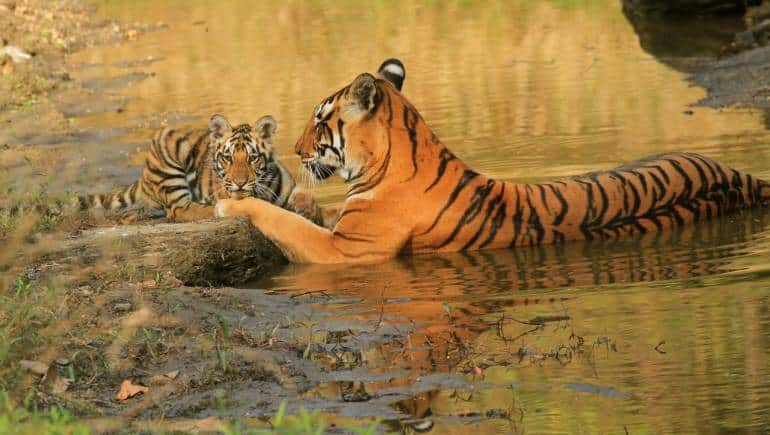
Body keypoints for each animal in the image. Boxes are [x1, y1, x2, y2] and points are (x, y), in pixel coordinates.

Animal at [80, 114, 338, 227]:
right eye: (228, 158)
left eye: (253, 158)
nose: (240, 182)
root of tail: (143, 176)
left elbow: (305, 197)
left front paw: (308, 209)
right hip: (168, 149)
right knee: (178, 210)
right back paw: (212, 209)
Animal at [214, 58, 770, 263]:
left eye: (320, 119)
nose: (296, 149)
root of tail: (744, 177)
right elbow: (312, 212)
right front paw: (303, 200)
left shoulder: (348, 251)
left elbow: (283, 222)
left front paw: (231, 204)